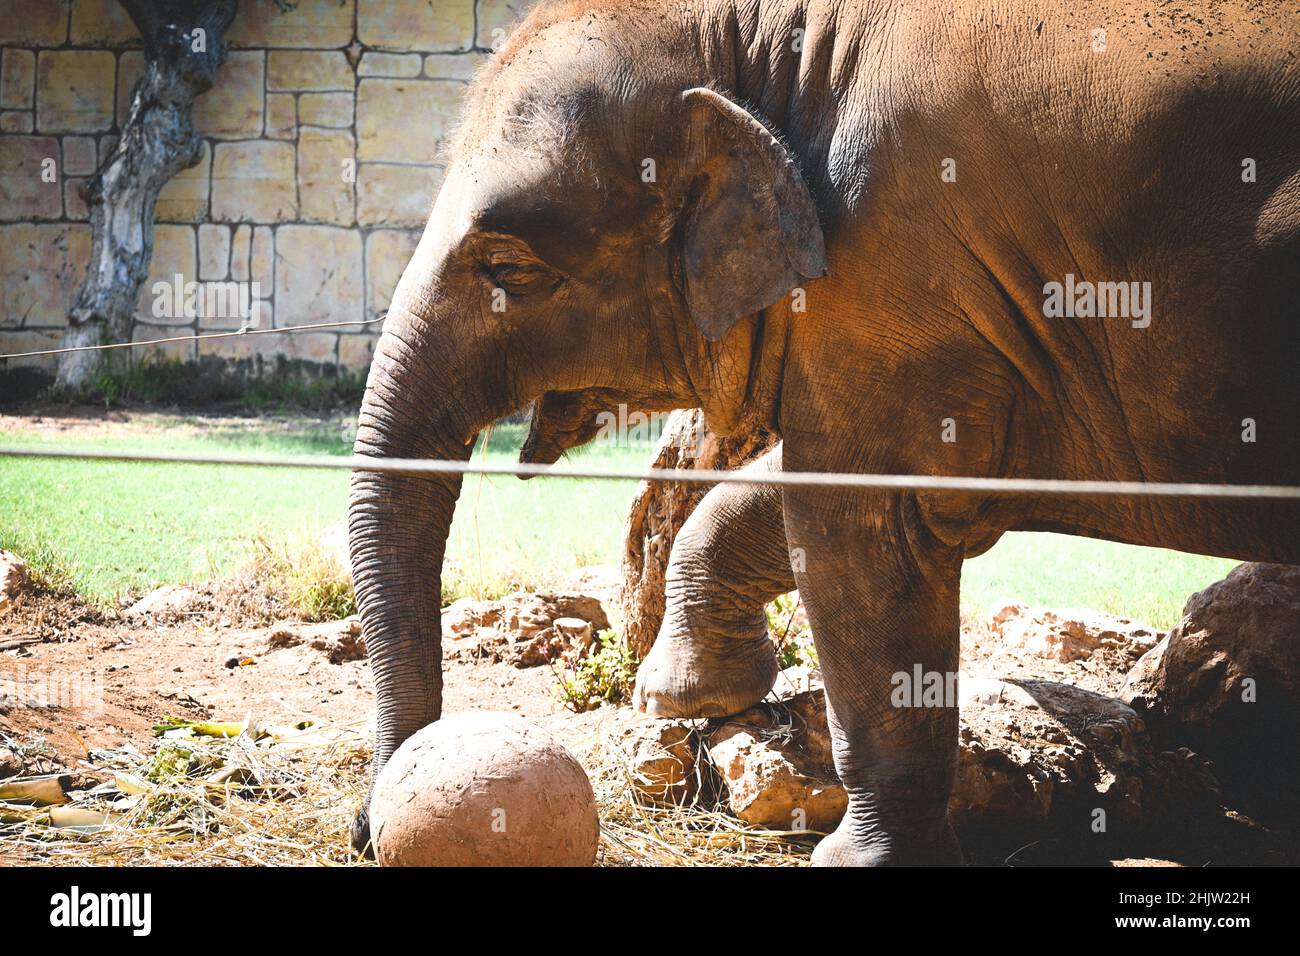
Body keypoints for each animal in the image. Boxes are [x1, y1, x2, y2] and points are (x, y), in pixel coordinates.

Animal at [348, 0, 1300, 864]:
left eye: (510, 268)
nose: (366, 826)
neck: (762, 33)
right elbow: (842, 493)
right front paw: (686, 697)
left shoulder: (896, 265)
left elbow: (857, 522)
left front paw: (858, 858)